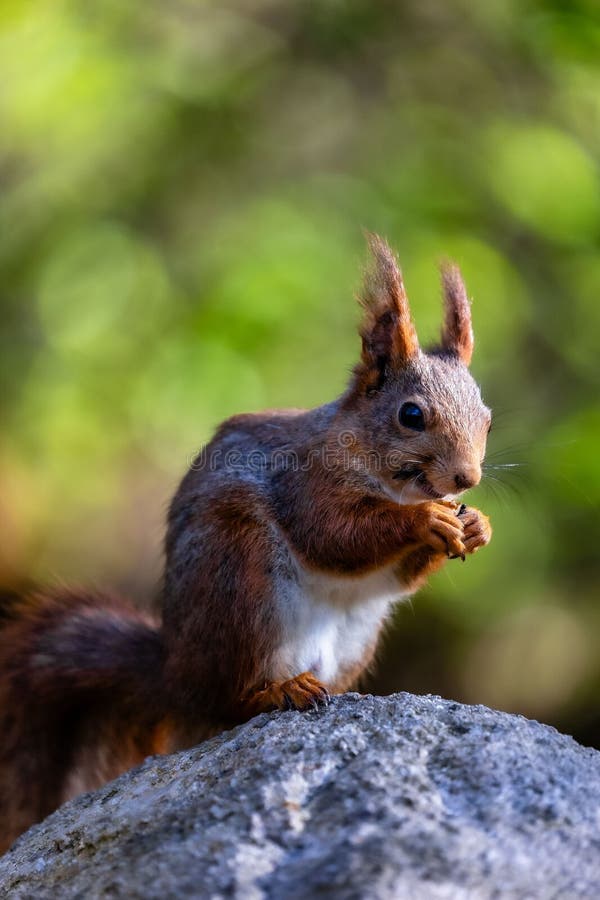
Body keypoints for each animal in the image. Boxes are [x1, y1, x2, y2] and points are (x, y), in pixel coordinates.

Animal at [0, 235, 492, 851]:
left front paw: (476, 526)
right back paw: (276, 693)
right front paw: (426, 519)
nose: (467, 479)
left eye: (487, 418)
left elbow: (395, 574)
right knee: (228, 702)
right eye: (411, 415)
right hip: (240, 577)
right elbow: (335, 536)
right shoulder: (304, 484)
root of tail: (175, 677)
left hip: (352, 638)